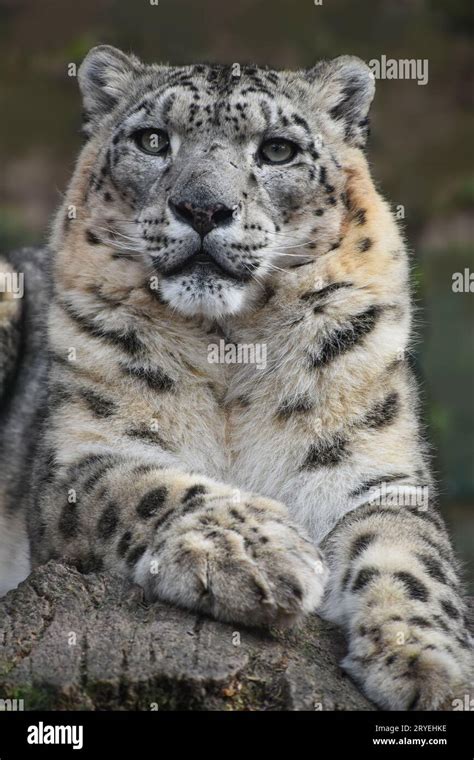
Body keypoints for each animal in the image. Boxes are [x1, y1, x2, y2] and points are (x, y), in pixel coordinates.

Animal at [0, 46, 471, 710]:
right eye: (152, 140)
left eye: (277, 150)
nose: (203, 209)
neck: (230, 346)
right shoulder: (79, 457)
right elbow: (144, 487)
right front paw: (256, 554)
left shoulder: (373, 472)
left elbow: (409, 554)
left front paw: (427, 665)